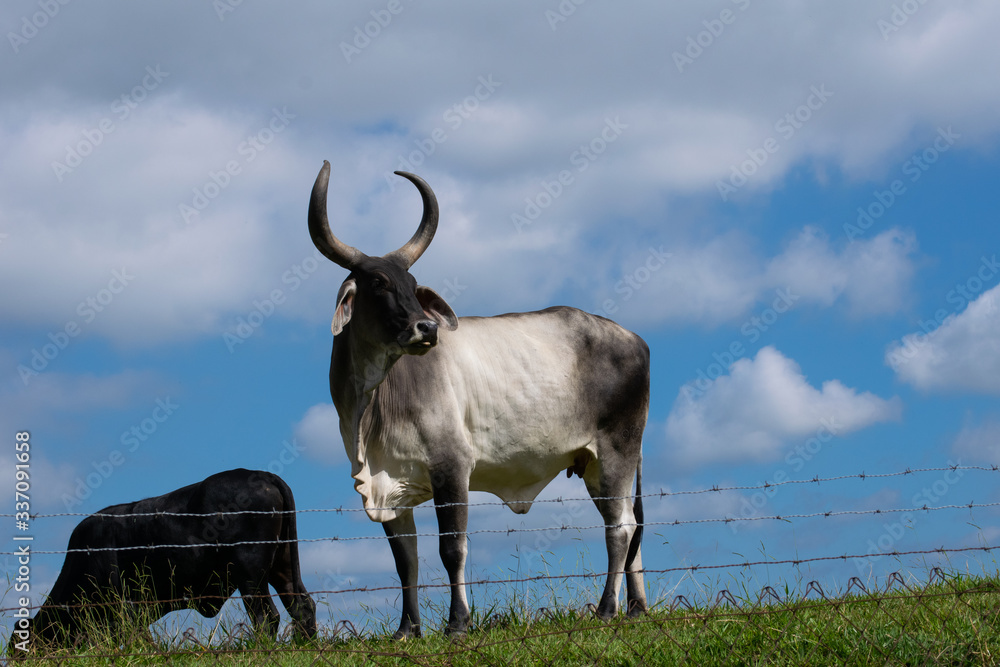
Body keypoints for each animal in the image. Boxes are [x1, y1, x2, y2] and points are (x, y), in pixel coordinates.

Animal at [12, 469, 316, 651]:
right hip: (281, 566)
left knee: (266, 616)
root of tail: (260, 474)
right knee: (301, 605)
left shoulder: (125, 609)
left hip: (250, 573)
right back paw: (305, 645)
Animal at [308, 161, 649, 638]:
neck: (370, 405)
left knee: (619, 528)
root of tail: (632, 337)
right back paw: (634, 608)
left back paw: (605, 609)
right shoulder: (389, 485)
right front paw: (407, 629)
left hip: (618, 451)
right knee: (630, 528)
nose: (427, 328)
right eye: (377, 282)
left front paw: (458, 623)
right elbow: (406, 561)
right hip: (596, 466)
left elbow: (452, 548)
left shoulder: (451, 469)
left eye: (412, 284)